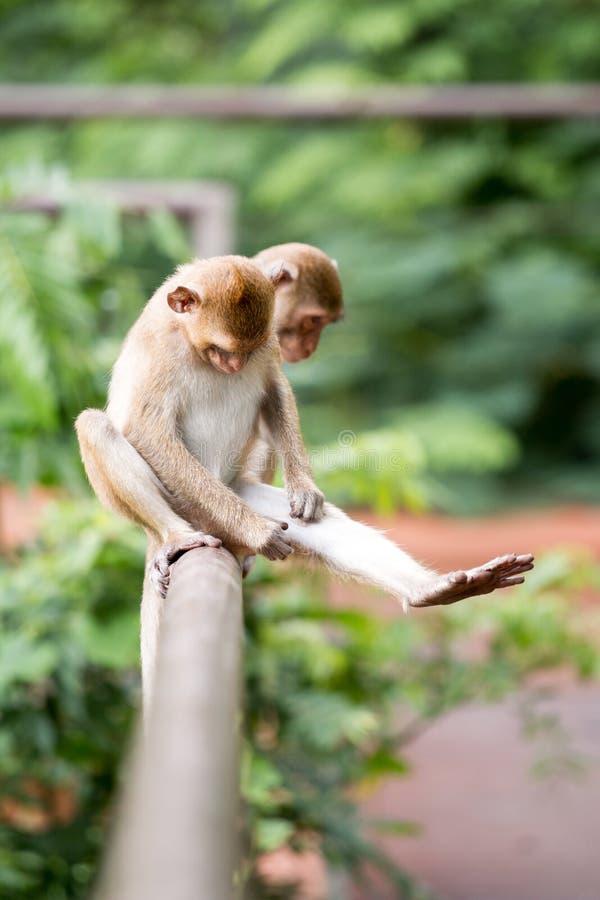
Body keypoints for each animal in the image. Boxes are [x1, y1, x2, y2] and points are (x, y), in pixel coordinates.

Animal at [76, 254, 534, 707]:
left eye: (247, 351)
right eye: (221, 349)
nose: (235, 365)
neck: (189, 339)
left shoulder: (267, 344)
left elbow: (274, 389)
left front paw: (304, 487)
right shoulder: (161, 347)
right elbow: (148, 431)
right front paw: (259, 533)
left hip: (235, 494)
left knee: (323, 521)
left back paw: (431, 589)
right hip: (194, 502)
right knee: (96, 425)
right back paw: (179, 537)